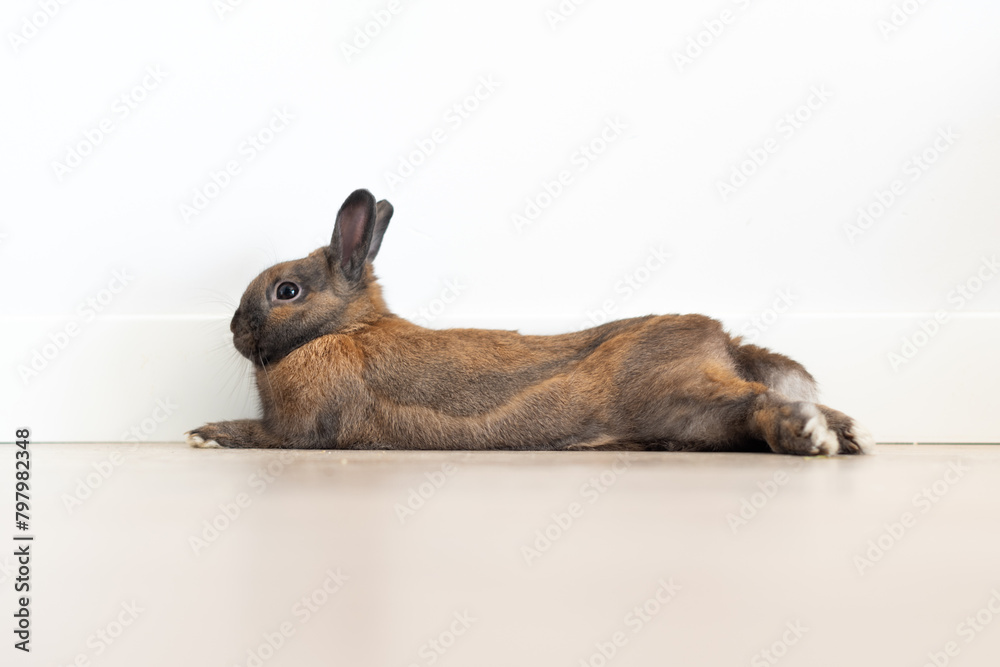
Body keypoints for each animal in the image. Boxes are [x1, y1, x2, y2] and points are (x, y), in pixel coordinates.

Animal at [187, 188, 875, 455]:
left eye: (287, 290)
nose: (234, 330)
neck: (343, 332)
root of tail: (722, 341)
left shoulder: (303, 431)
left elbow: (260, 435)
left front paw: (205, 433)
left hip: (672, 392)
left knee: (761, 404)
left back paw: (810, 436)